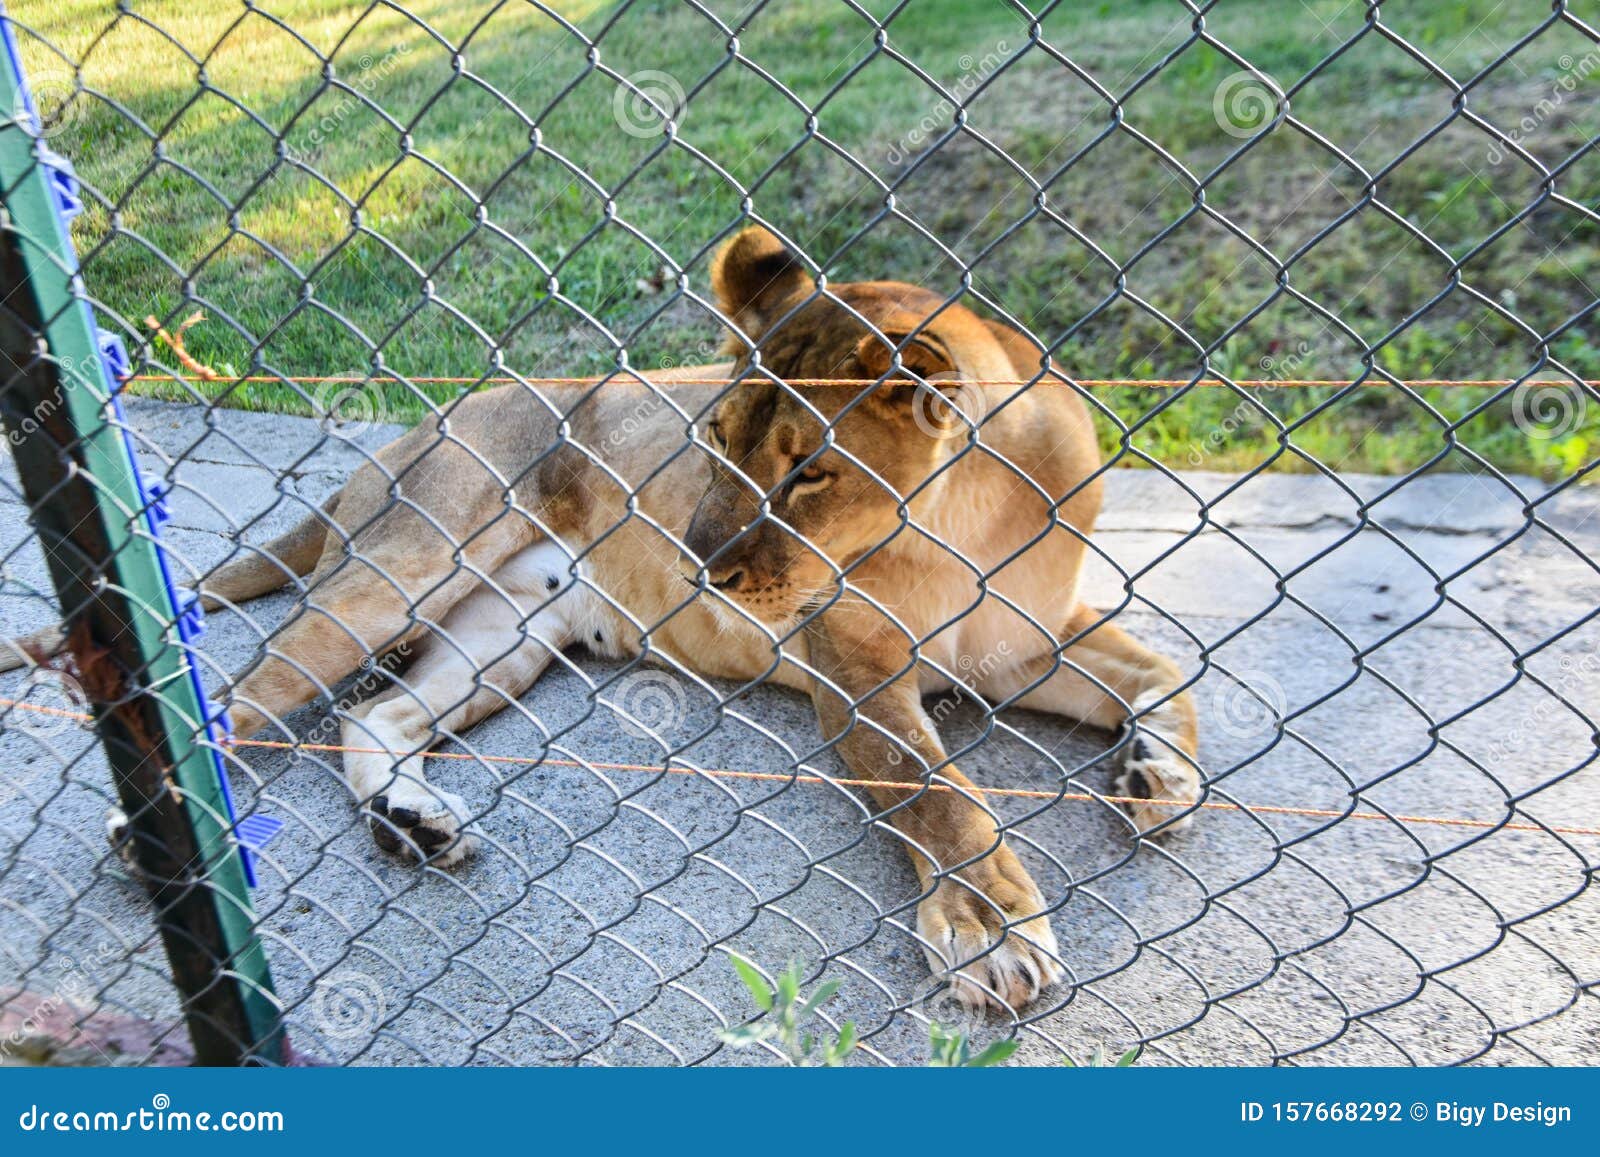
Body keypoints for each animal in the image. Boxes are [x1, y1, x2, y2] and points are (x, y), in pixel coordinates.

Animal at [1, 226, 1201, 1012]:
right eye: (716, 438)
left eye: (808, 471)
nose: (700, 567)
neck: (968, 517)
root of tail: (417, 424)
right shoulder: (849, 659)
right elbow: (936, 791)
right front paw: (988, 932)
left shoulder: (1023, 640)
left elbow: (1171, 670)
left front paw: (1158, 773)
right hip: (396, 571)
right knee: (239, 694)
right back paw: (162, 835)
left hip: (505, 635)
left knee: (372, 716)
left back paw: (411, 820)